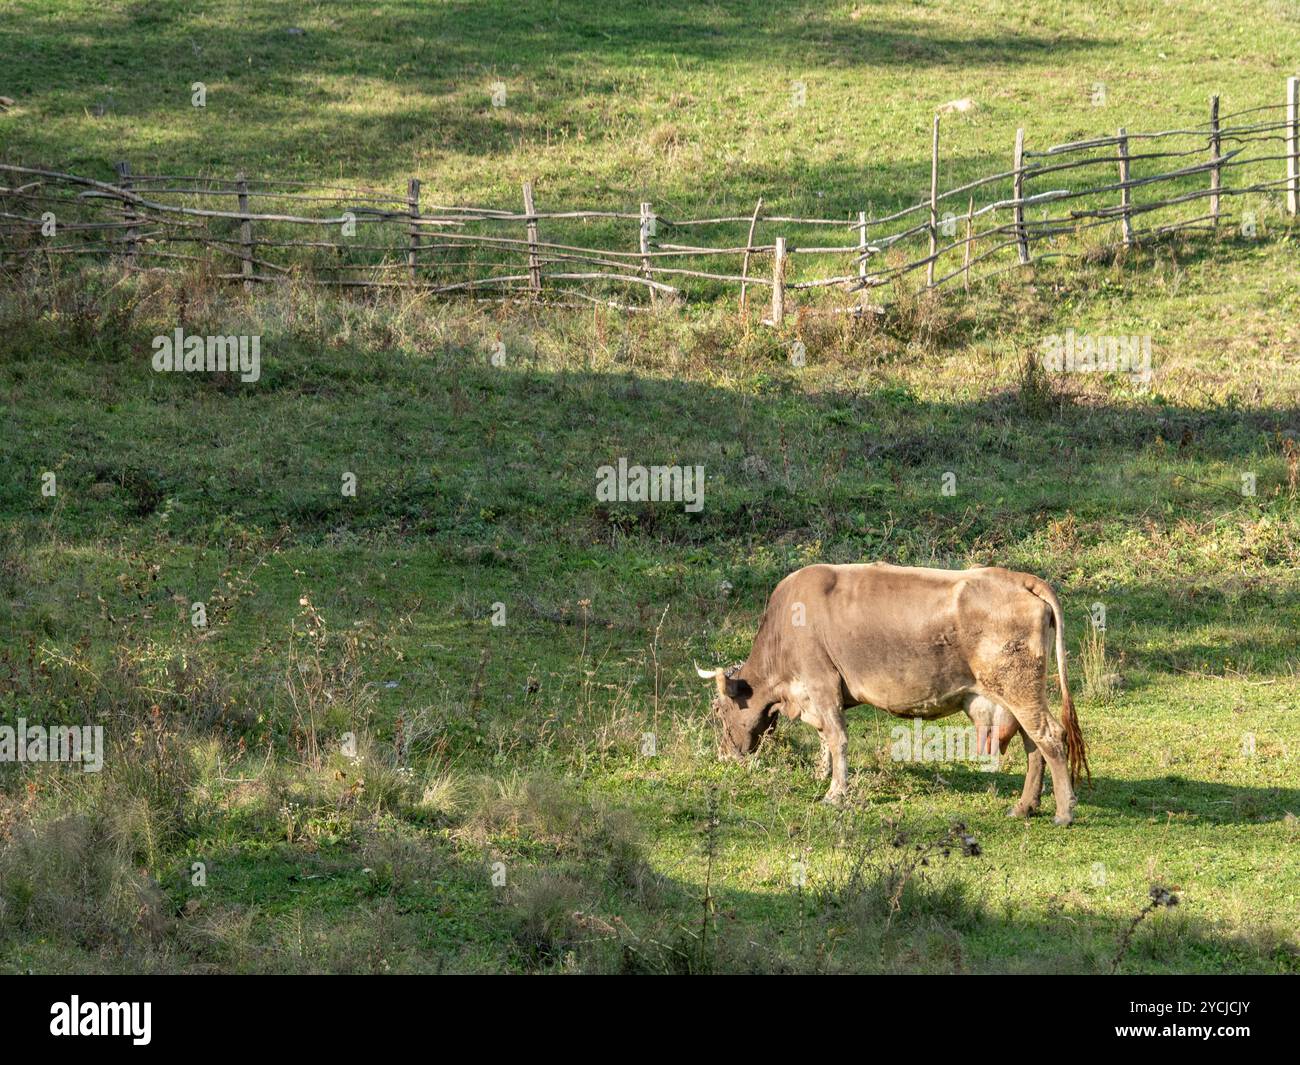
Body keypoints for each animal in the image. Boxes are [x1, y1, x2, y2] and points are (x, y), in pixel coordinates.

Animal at [696, 562, 1090, 824]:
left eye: (717, 711)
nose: (723, 755)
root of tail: (1018, 578)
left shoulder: (821, 683)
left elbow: (836, 737)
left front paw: (835, 793)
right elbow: (824, 737)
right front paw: (822, 774)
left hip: (1019, 689)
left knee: (1050, 737)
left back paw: (1064, 811)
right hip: (1015, 695)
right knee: (1034, 746)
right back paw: (1025, 807)